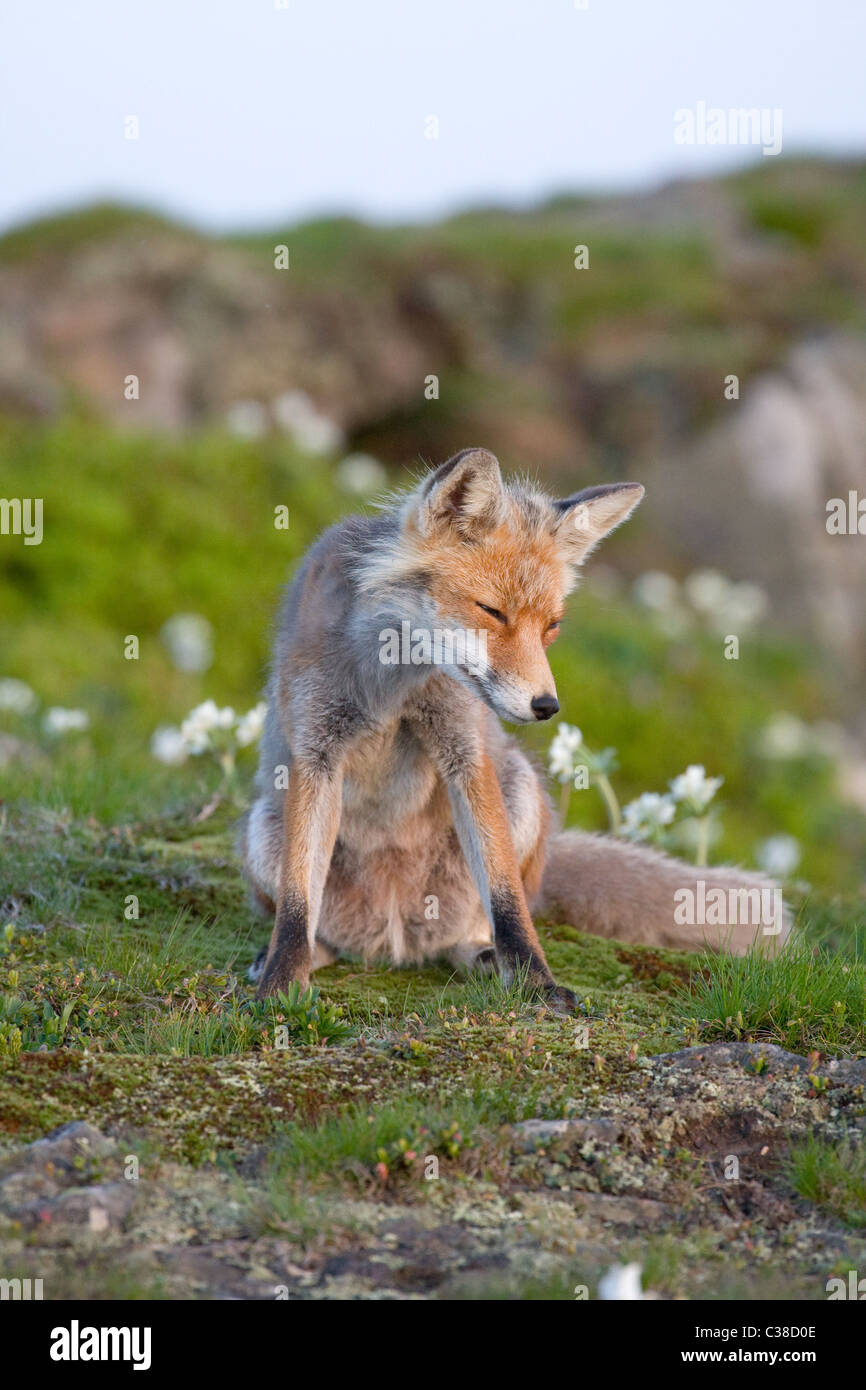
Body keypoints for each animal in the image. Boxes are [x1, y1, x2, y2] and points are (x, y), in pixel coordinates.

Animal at [239, 448, 789, 1012]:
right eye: (491, 611)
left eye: (552, 626)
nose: (546, 705)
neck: (393, 686)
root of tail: (395, 945)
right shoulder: (315, 754)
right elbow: (297, 905)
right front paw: (280, 985)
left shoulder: (466, 753)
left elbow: (506, 899)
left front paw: (534, 981)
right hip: (262, 829)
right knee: (315, 924)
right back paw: (304, 955)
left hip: (520, 790)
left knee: (479, 924)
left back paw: (483, 955)